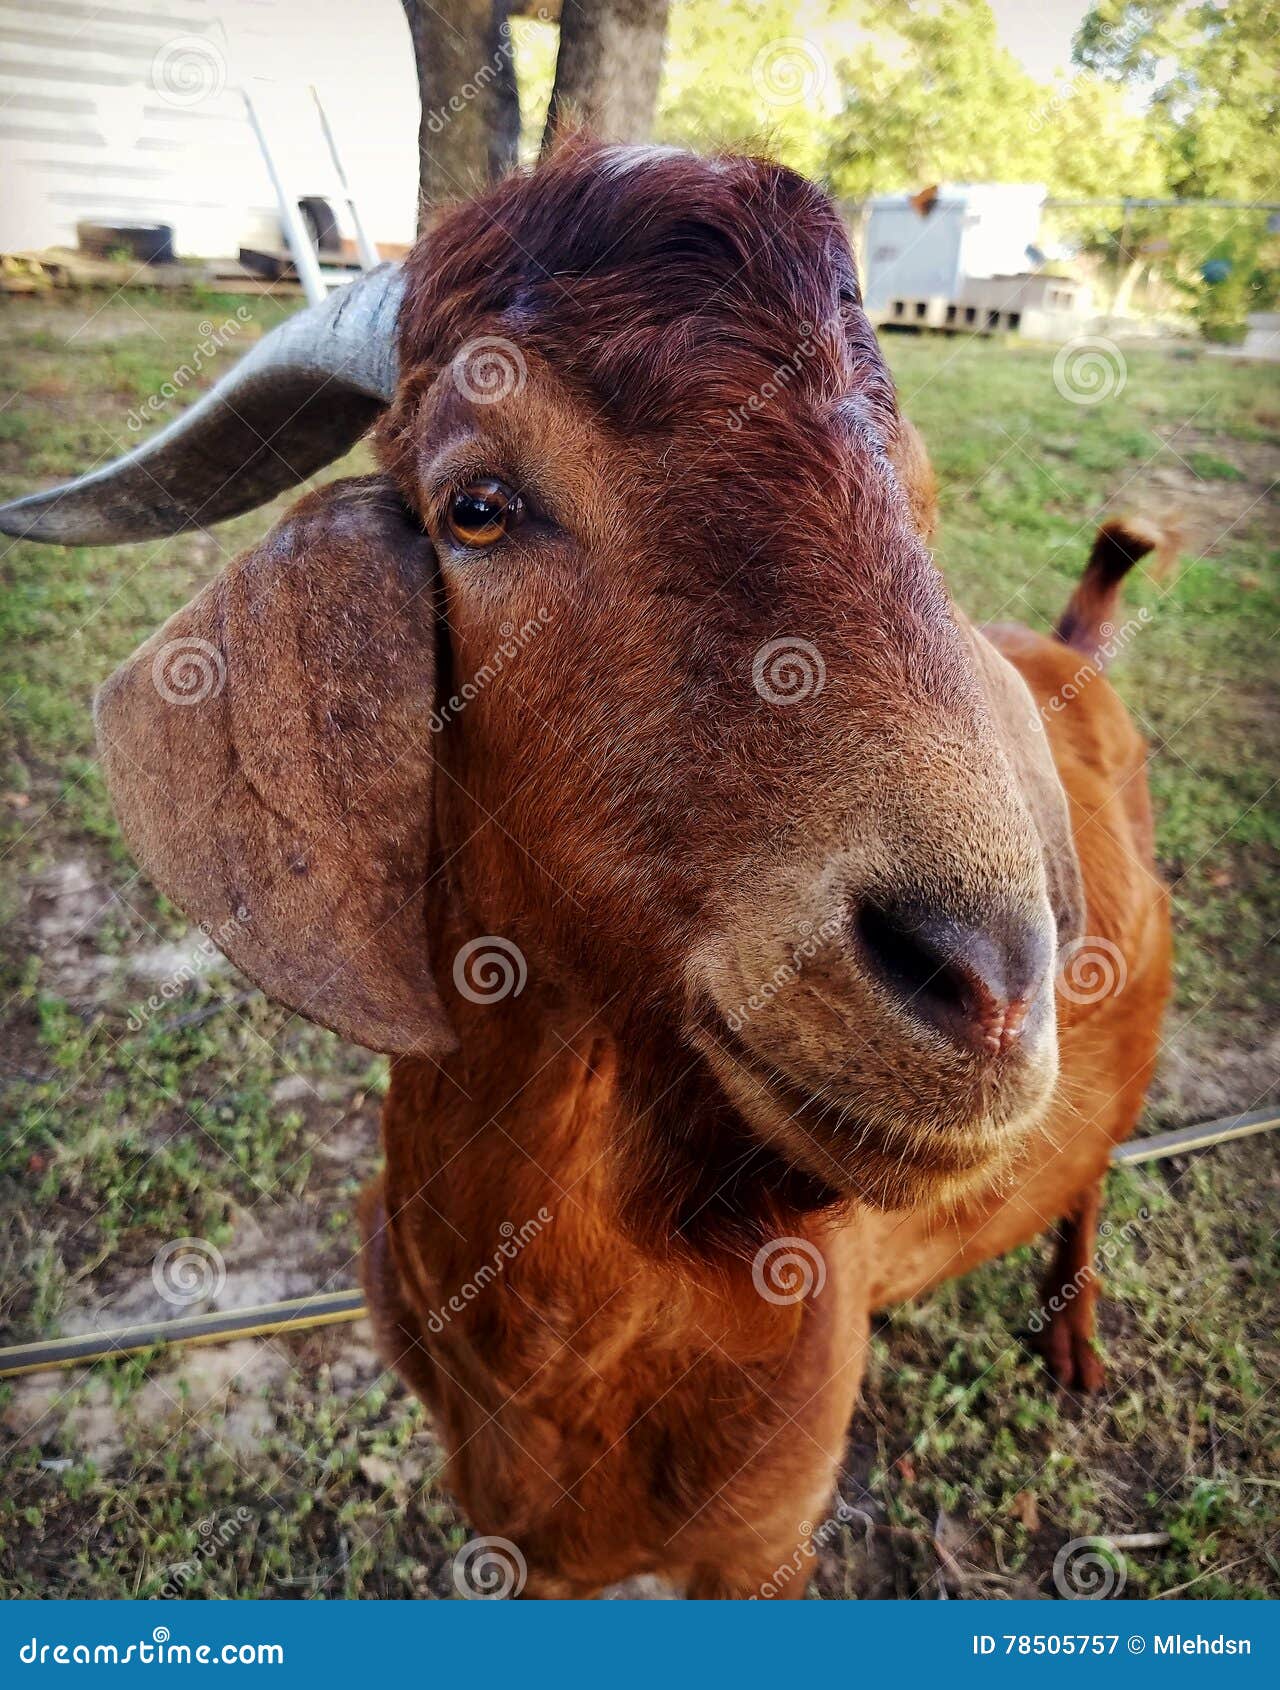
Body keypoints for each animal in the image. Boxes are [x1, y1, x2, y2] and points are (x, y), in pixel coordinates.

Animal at [0, 140, 1170, 1599]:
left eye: (919, 502)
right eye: (476, 507)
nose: (989, 984)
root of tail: (1076, 649)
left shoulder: (767, 1541)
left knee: (1096, 1177)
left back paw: (1075, 1339)